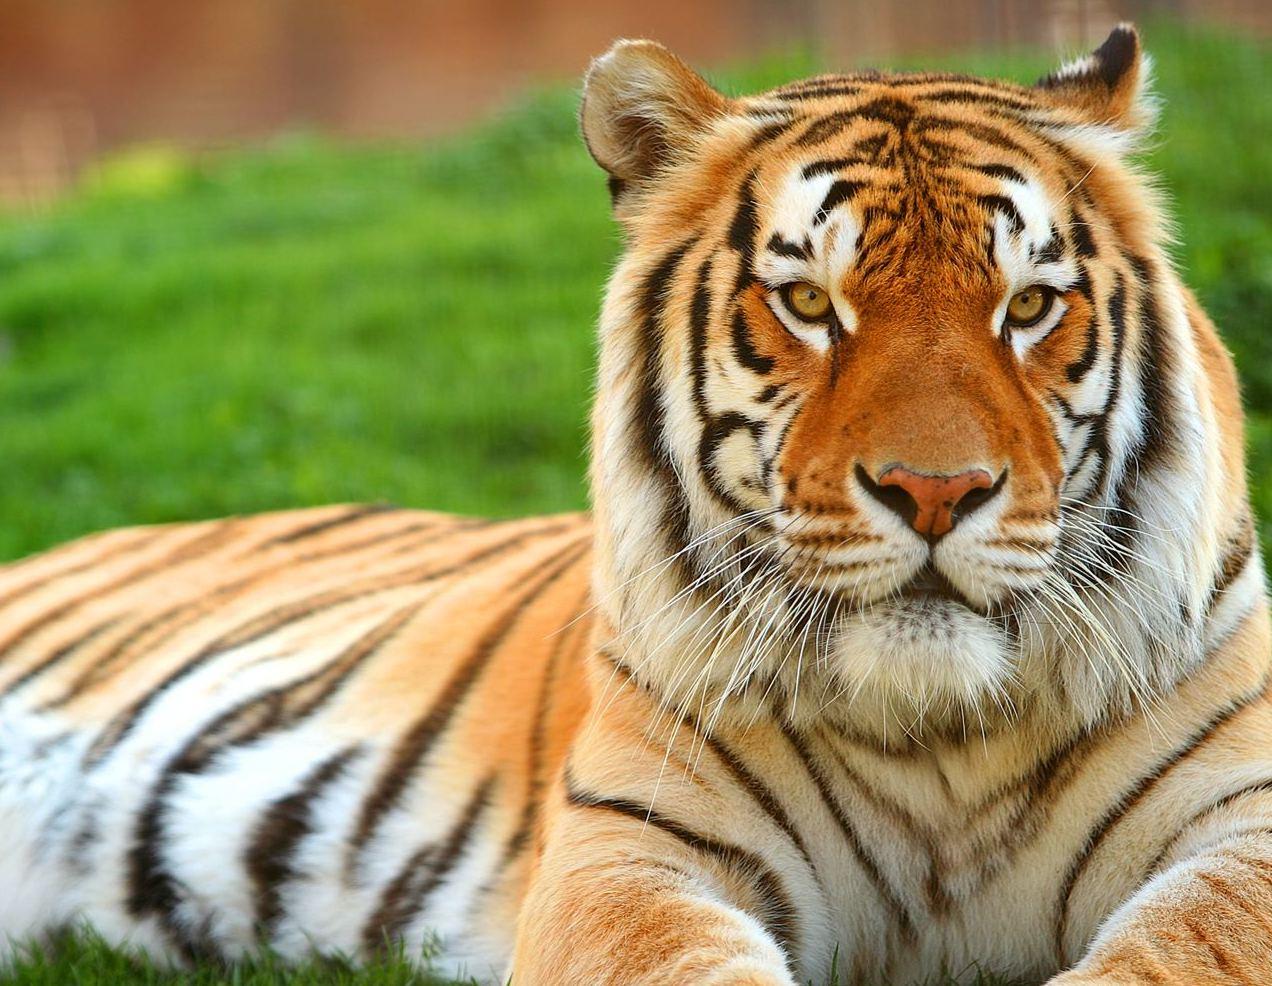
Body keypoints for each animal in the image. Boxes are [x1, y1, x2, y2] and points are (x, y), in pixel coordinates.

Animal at [0, 22, 1268, 986]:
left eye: (1029, 305)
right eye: (810, 302)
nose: (935, 490)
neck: (939, 743)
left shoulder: (1244, 828)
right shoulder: (631, 854)